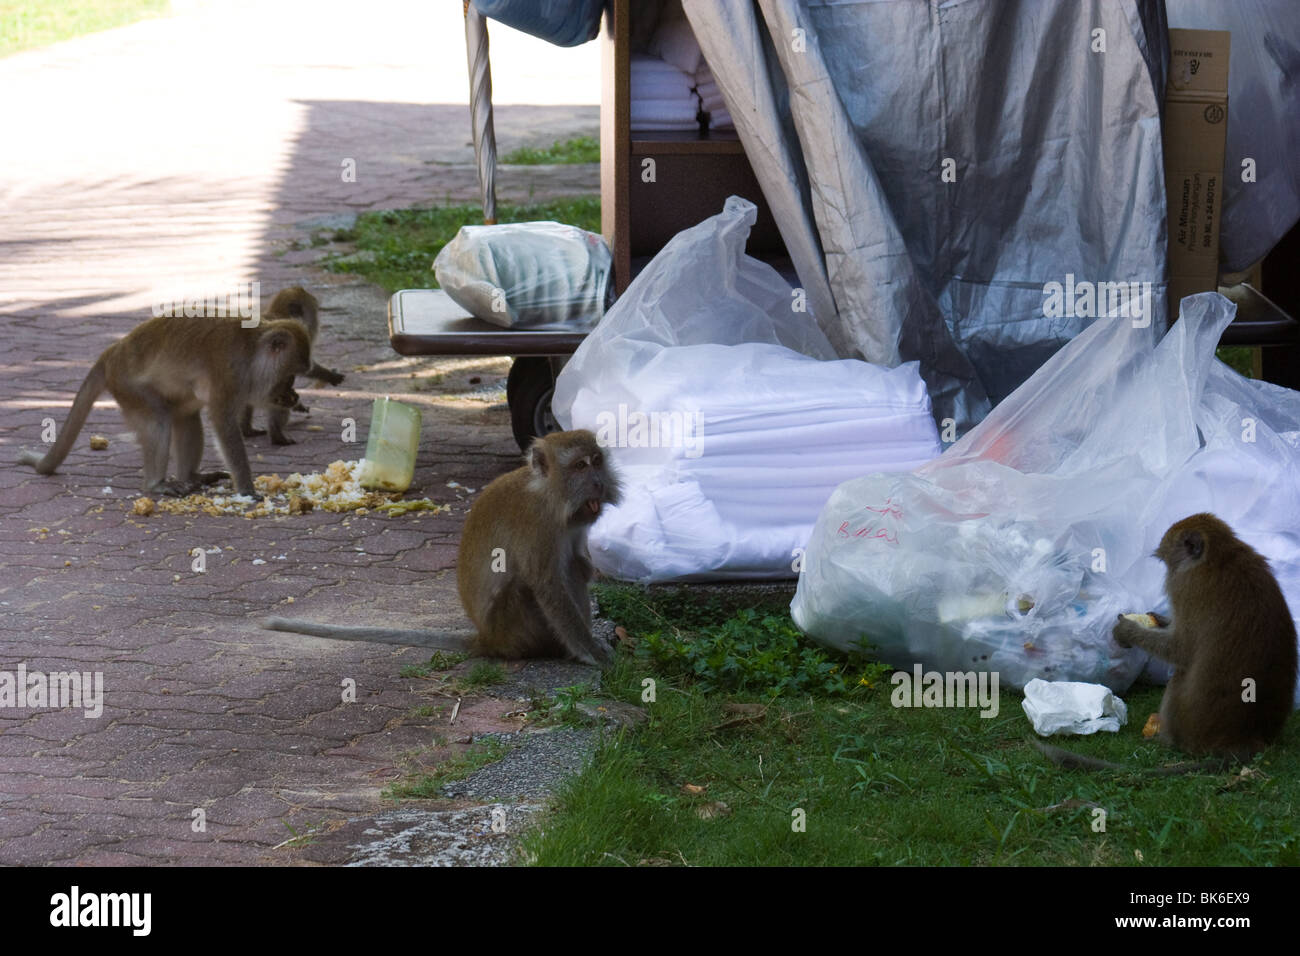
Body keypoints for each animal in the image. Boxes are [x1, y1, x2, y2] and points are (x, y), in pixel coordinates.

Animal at [18, 315, 312, 498]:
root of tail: (112, 353)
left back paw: (192, 477)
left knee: (188, 417)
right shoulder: (227, 375)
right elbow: (223, 424)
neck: (251, 353)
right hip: (129, 388)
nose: (293, 394)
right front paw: (247, 489)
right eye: (289, 377)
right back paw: (155, 484)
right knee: (158, 420)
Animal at [264, 429, 622, 667]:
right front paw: (591, 652)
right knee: (529, 586)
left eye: (597, 461)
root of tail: (486, 638)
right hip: (514, 627)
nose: (598, 483)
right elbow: (548, 586)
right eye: (579, 466)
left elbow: (577, 565)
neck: (549, 496)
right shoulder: (536, 526)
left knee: (571, 568)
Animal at [1035, 513, 1298, 774]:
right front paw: (1161, 620)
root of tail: (1246, 739)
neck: (1222, 554)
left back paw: (1166, 739)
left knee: (1180, 673)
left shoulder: (1183, 586)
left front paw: (1128, 631)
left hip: (1188, 726)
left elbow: (1180, 650)